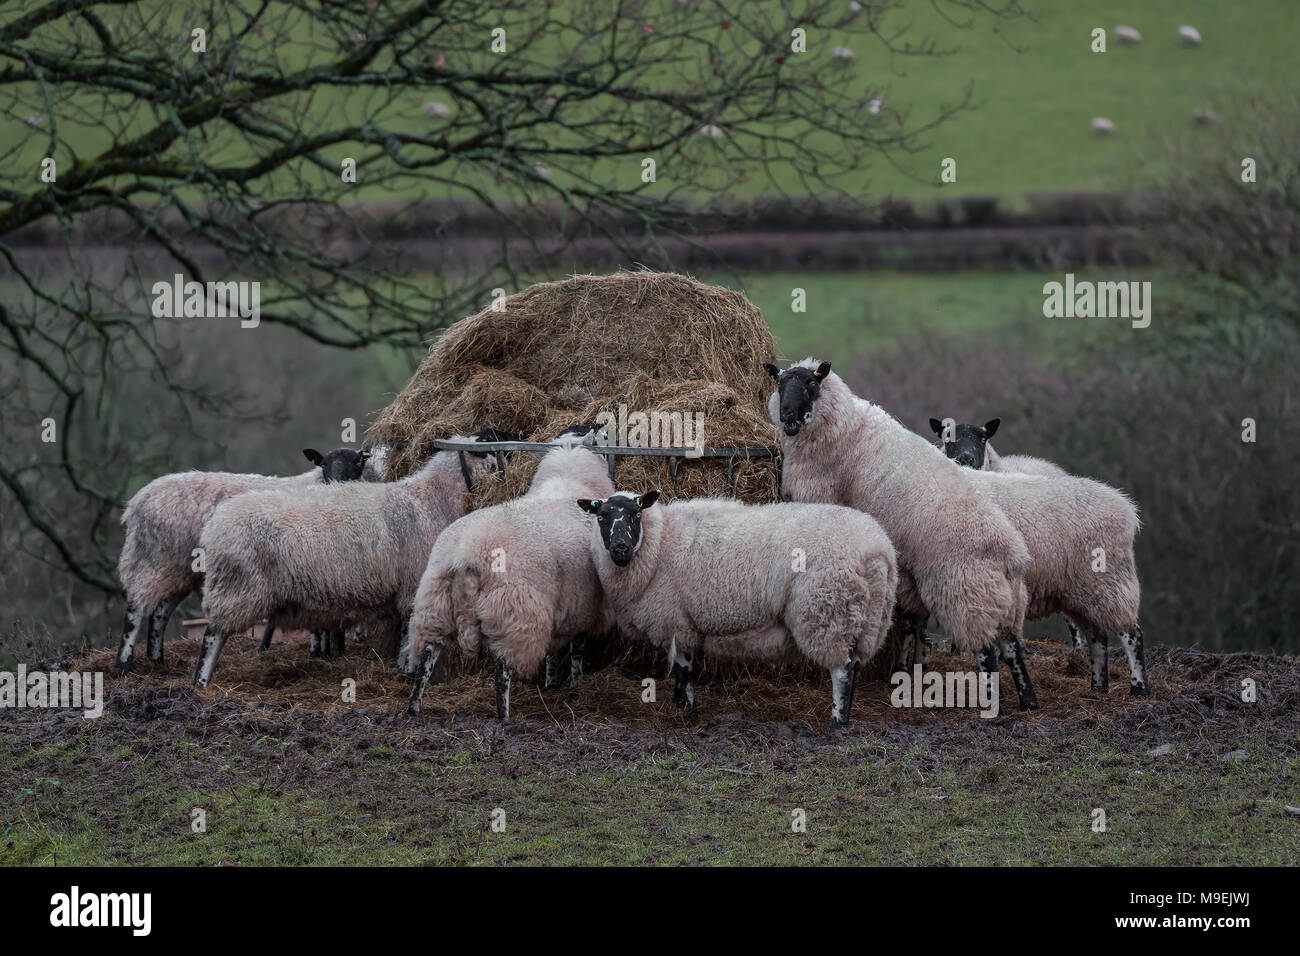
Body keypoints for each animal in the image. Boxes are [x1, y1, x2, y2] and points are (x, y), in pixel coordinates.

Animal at [113, 447, 371, 675]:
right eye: (324, 464)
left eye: (357, 462)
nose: (338, 484)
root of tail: (139, 499)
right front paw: (319, 654)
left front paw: (328, 653)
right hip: (153, 557)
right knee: (135, 610)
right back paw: (123, 665)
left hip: (179, 568)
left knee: (160, 612)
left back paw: (157, 661)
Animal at [191, 432, 511, 687]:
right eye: (489, 449)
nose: (507, 467)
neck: (431, 500)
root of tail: (215, 526)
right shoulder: (413, 583)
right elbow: (410, 629)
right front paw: (409, 670)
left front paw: (403, 667)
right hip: (237, 585)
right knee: (212, 635)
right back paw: (202, 681)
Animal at [404, 430, 615, 718]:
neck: (572, 481)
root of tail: (466, 556)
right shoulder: (582, 604)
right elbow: (576, 652)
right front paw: (573, 692)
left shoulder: (559, 601)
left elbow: (552, 650)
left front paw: (550, 683)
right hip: (513, 613)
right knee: (502, 672)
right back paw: (504, 716)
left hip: (433, 604)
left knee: (426, 659)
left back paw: (413, 707)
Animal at [573, 491, 897, 729]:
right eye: (601, 516)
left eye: (636, 514)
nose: (620, 548)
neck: (660, 542)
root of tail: (876, 550)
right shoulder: (686, 622)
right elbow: (684, 667)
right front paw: (684, 707)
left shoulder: (678, 620)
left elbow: (683, 668)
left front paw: (686, 710)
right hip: (866, 620)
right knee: (855, 666)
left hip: (826, 612)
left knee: (842, 670)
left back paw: (837, 721)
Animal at [765, 359, 1039, 709]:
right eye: (780, 384)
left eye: (811, 385)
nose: (787, 415)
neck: (847, 426)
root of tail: (1011, 554)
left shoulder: (821, 491)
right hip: (1006, 602)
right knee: (1012, 647)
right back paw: (1028, 700)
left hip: (966, 591)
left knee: (987, 649)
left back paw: (993, 699)